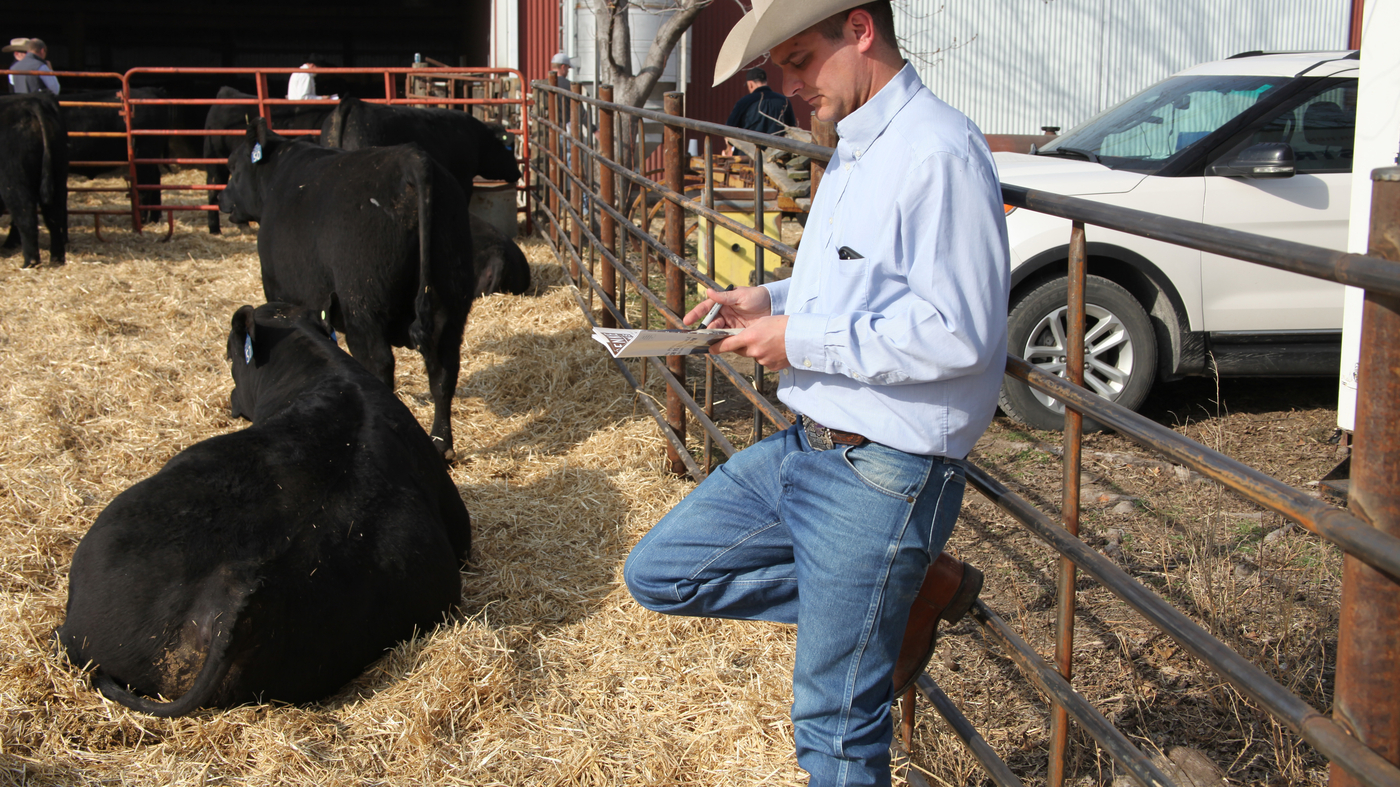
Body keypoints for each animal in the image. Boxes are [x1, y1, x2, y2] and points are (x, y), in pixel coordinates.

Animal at [0, 93, 67, 268]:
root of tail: (30, 101)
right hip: (58, 176)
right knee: (54, 217)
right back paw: (56, 258)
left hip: (13, 182)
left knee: (26, 218)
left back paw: (29, 262)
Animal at [219, 119, 475, 459]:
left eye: (233, 167)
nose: (222, 199)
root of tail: (411, 159)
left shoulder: (280, 292)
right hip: (450, 303)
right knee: (444, 373)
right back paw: (441, 444)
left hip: (363, 308)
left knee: (381, 364)